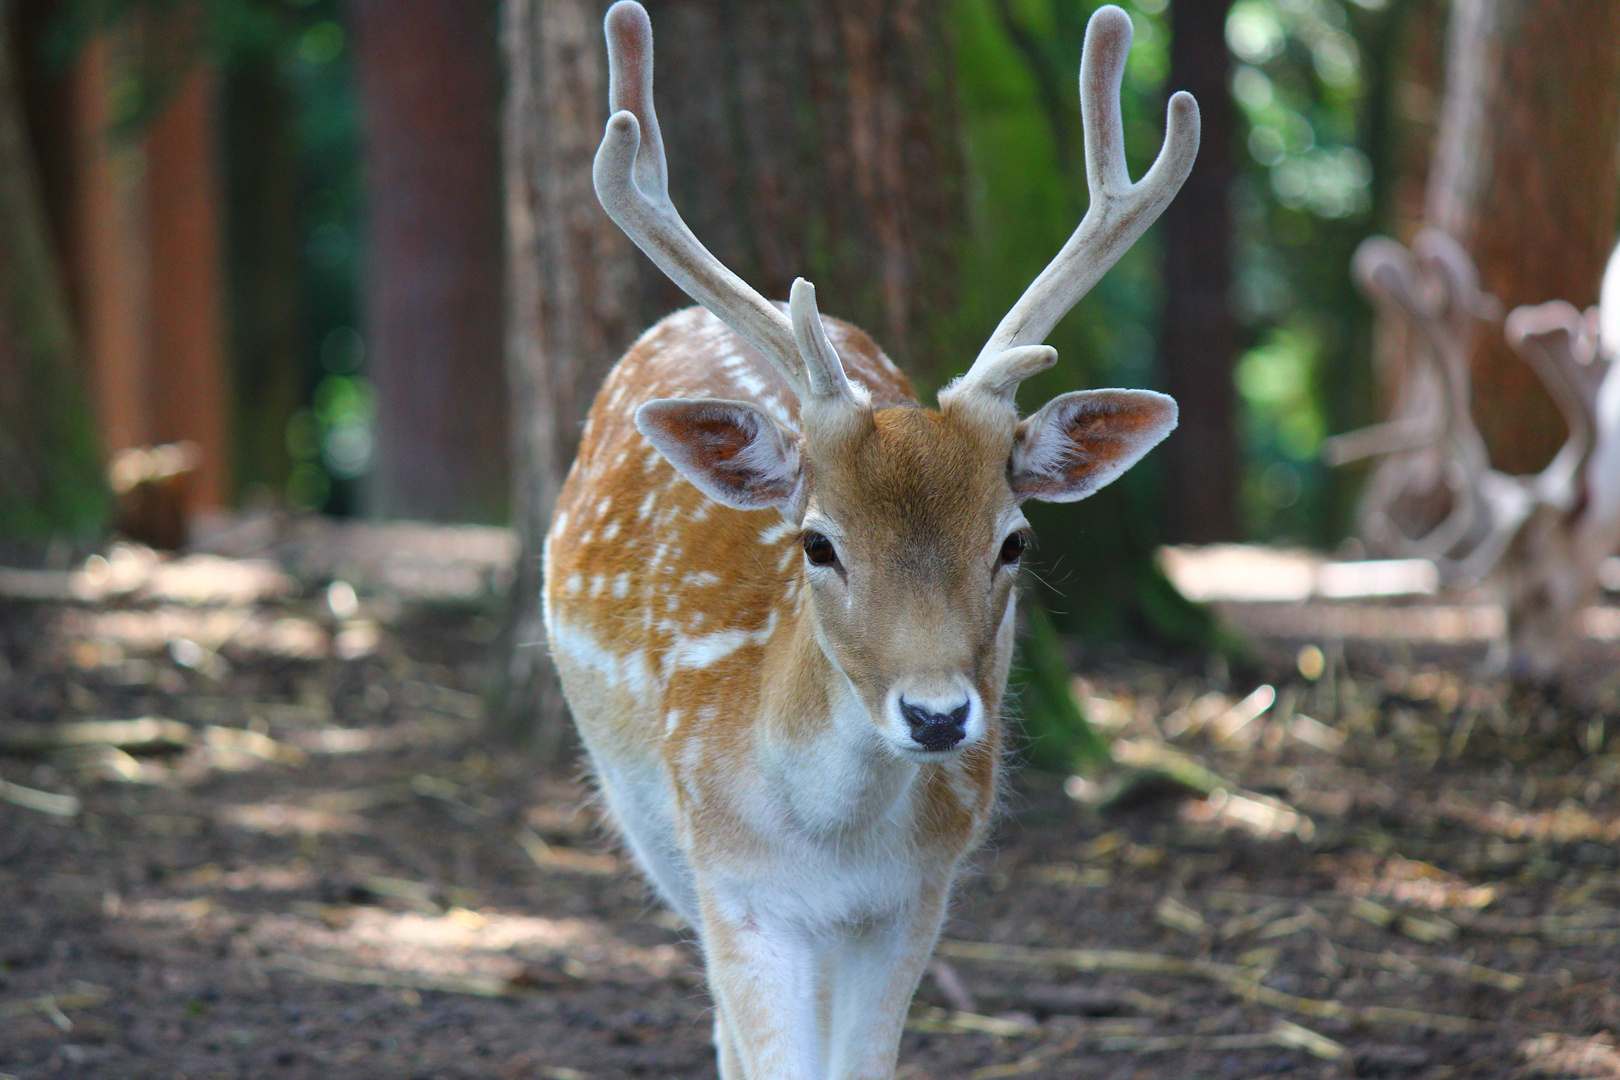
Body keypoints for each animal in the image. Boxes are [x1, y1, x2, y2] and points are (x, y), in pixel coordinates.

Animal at [541, 4, 1198, 1076]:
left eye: (1014, 541)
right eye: (817, 542)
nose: (936, 717)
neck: (830, 845)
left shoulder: (916, 894)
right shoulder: (734, 882)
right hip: (648, 818)